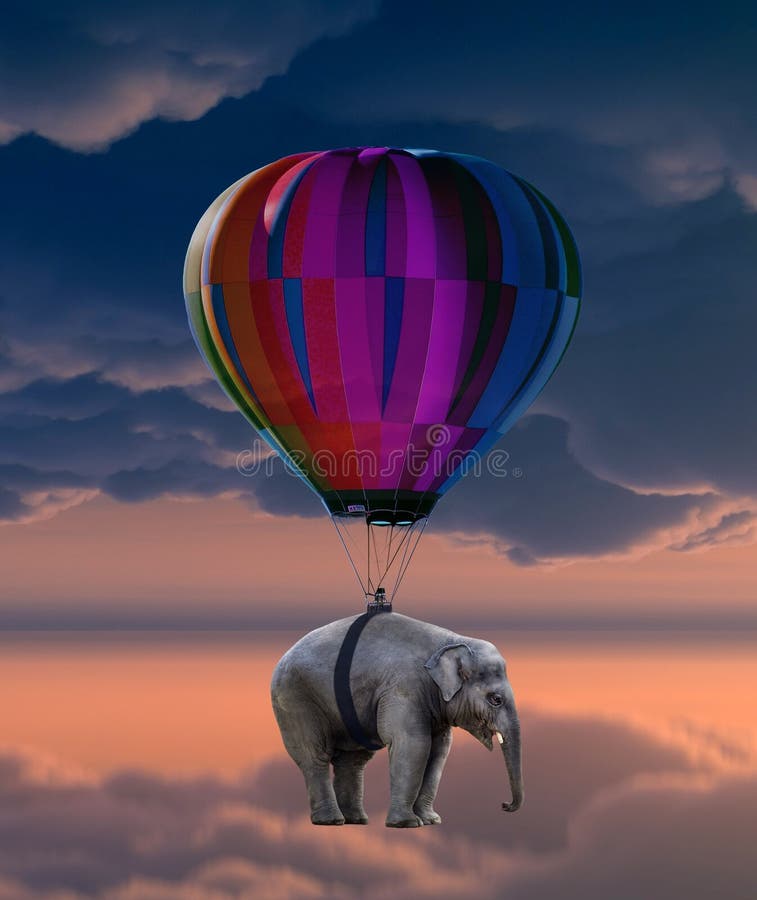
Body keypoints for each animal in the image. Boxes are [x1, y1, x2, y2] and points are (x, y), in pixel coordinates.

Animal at [270, 611, 522, 827]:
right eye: (496, 699)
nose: (504, 805)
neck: (451, 641)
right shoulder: (403, 687)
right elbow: (413, 744)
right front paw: (407, 824)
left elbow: (438, 752)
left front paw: (430, 821)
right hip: (295, 698)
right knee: (314, 756)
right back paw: (331, 821)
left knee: (353, 760)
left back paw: (356, 820)